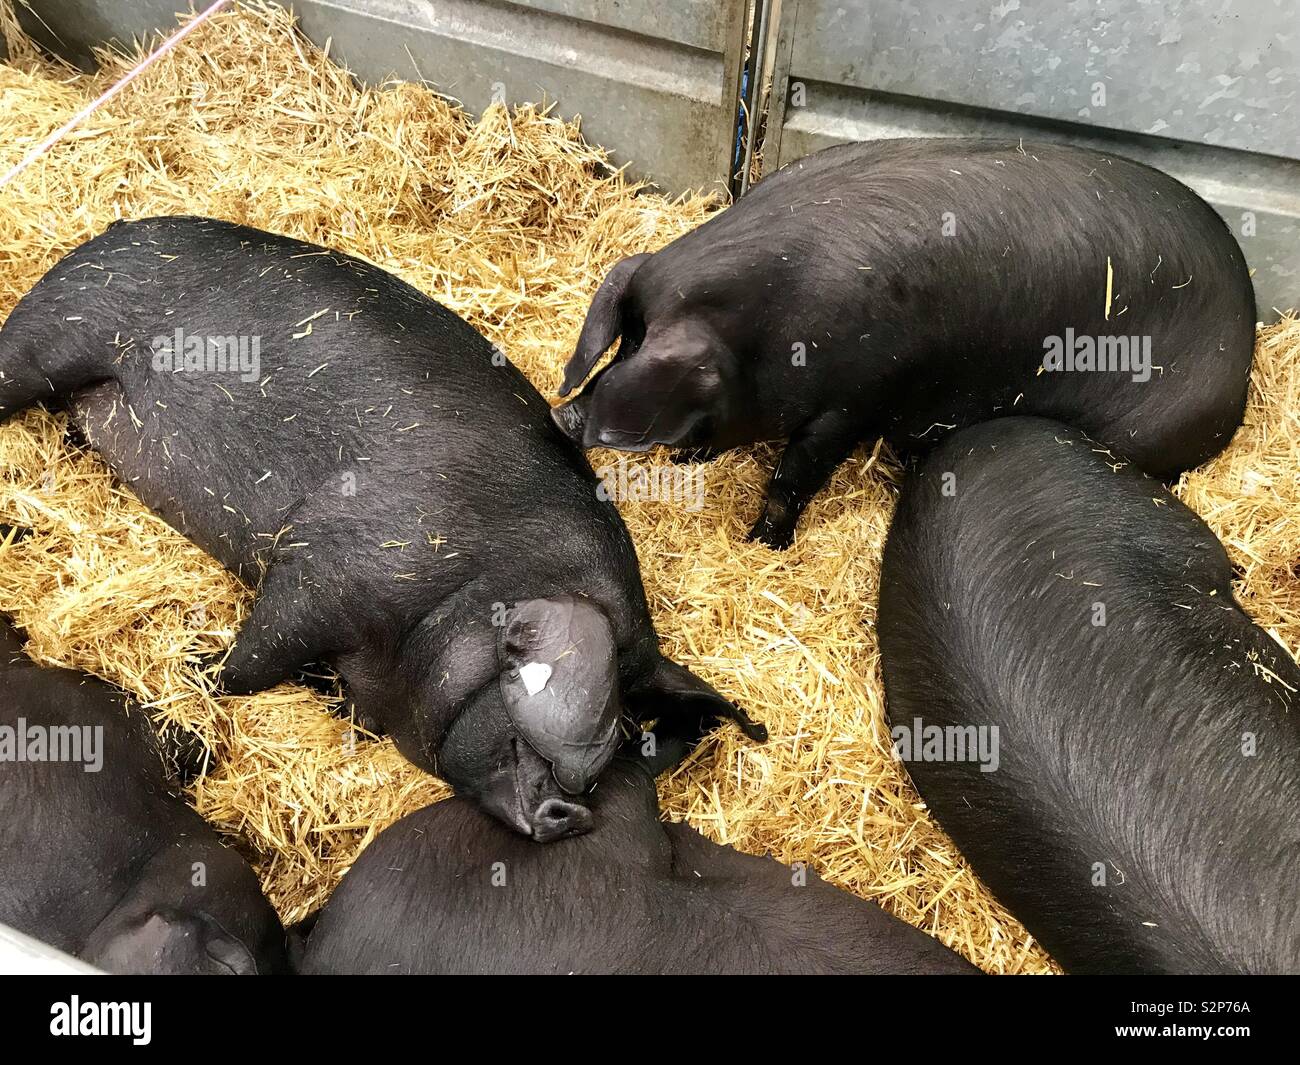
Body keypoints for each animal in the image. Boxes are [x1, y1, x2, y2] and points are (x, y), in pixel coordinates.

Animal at [0, 216, 764, 842]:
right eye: (563, 745)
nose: (573, 811)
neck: (475, 581)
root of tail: (109, 234)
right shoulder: (329, 564)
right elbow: (251, 660)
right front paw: (194, 664)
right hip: (57, 330)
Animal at [552, 138, 1256, 548]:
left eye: (645, 350)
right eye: (625, 340)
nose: (566, 415)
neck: (773, 324)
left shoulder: (856, 399)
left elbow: (795, 474)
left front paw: (761, 543)